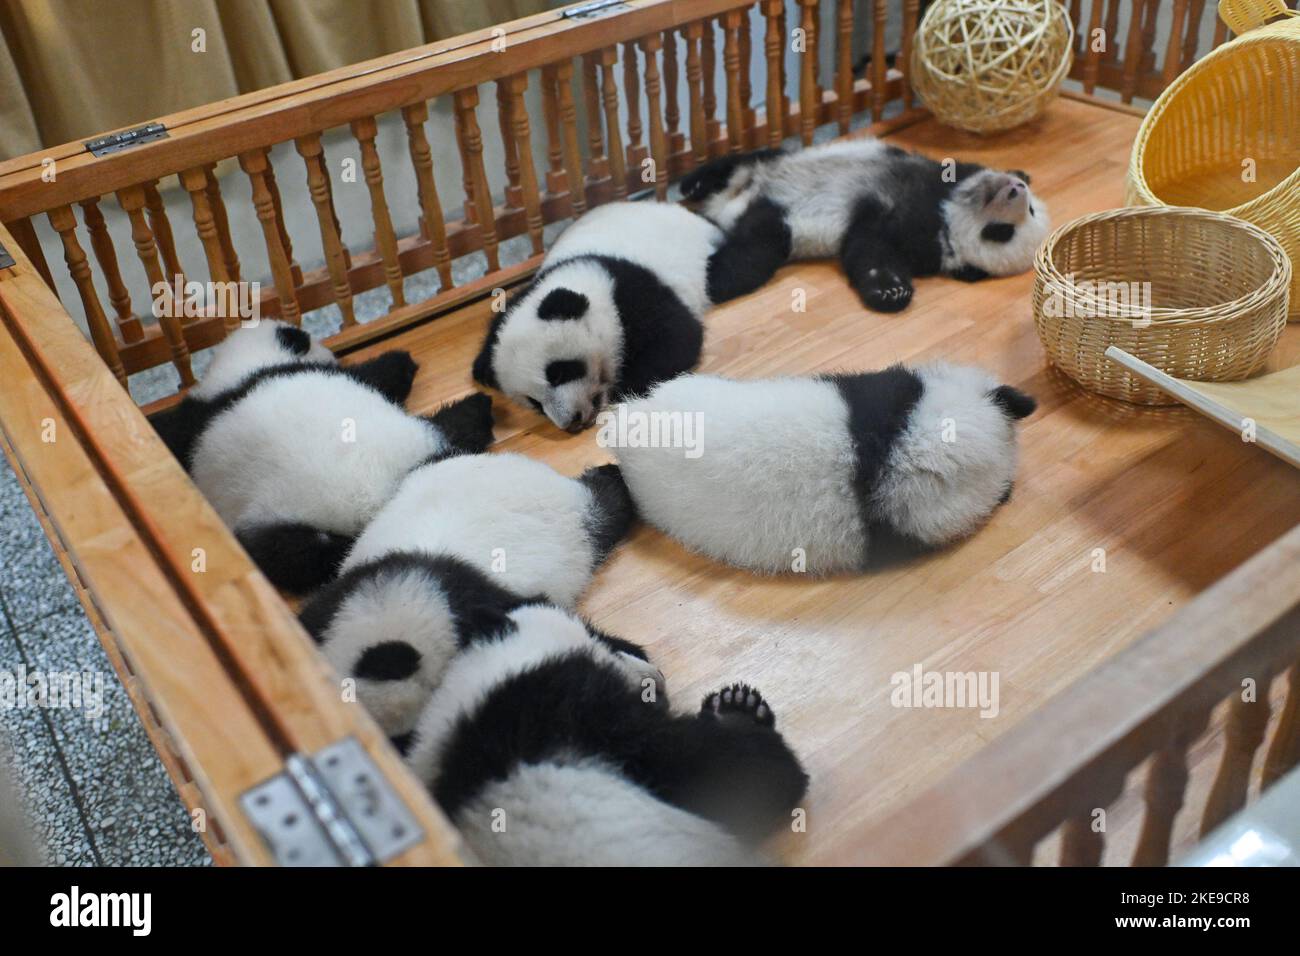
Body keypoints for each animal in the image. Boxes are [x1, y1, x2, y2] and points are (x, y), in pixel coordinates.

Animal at [149, 320, 494, 594]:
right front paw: (401, 361)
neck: (243, 370)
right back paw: (476, 407)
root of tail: (376, 501)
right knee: (297, 557)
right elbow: (376, 374)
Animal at [472, 201, 724, 432]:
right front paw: (482, 366)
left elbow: (678, 336)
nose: (571, 421)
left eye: (559, 373)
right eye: (534, 402)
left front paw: (625, 386)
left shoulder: (631, 293)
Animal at [683, 138, 1050, 312]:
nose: (1016, 189)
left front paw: (890, 291)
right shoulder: (938, 172)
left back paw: (712, 277)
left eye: (1002, 233)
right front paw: (1020, 171)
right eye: (1031, 208)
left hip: (779, 223)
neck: (943, 211)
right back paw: (693, 183)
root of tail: (730, 201)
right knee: (742, 160)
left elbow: (868, 249)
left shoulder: (914, 238)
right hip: (771, 162)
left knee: (753, 253)